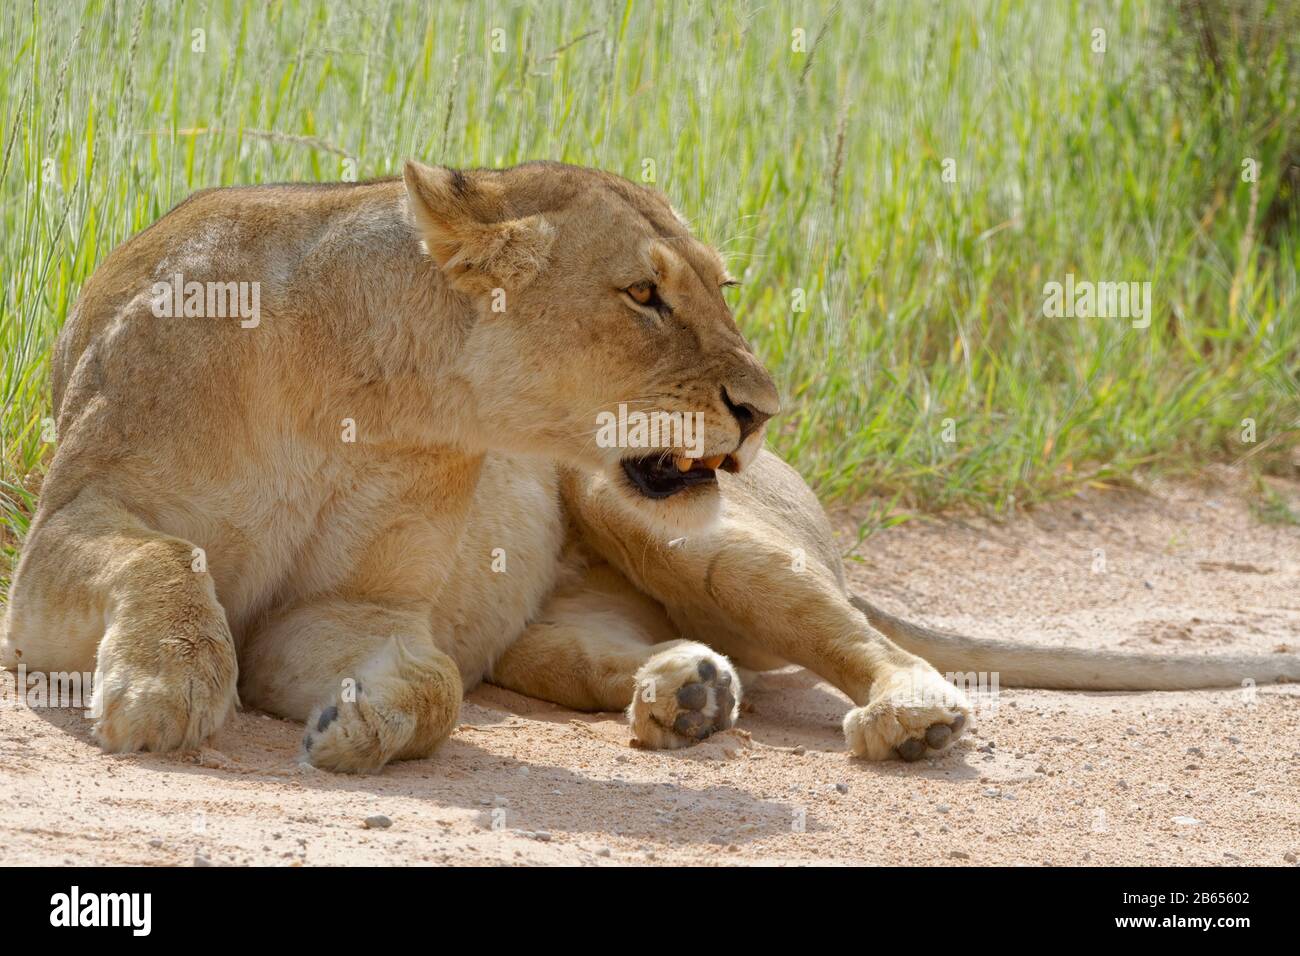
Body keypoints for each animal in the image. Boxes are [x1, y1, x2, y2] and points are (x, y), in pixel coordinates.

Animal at [2, 160, 1295, 773]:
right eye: (642, 294)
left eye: (717, 284)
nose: (764, 407)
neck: (370, 402)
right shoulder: (68, 537)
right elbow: (170, 557)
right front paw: (169, 688)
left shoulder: (355, 605)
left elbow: (434, 685)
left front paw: (359, 722)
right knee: (577, 648)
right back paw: (687, 693)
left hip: (689, 533)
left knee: (863, 641)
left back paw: (907, 714)